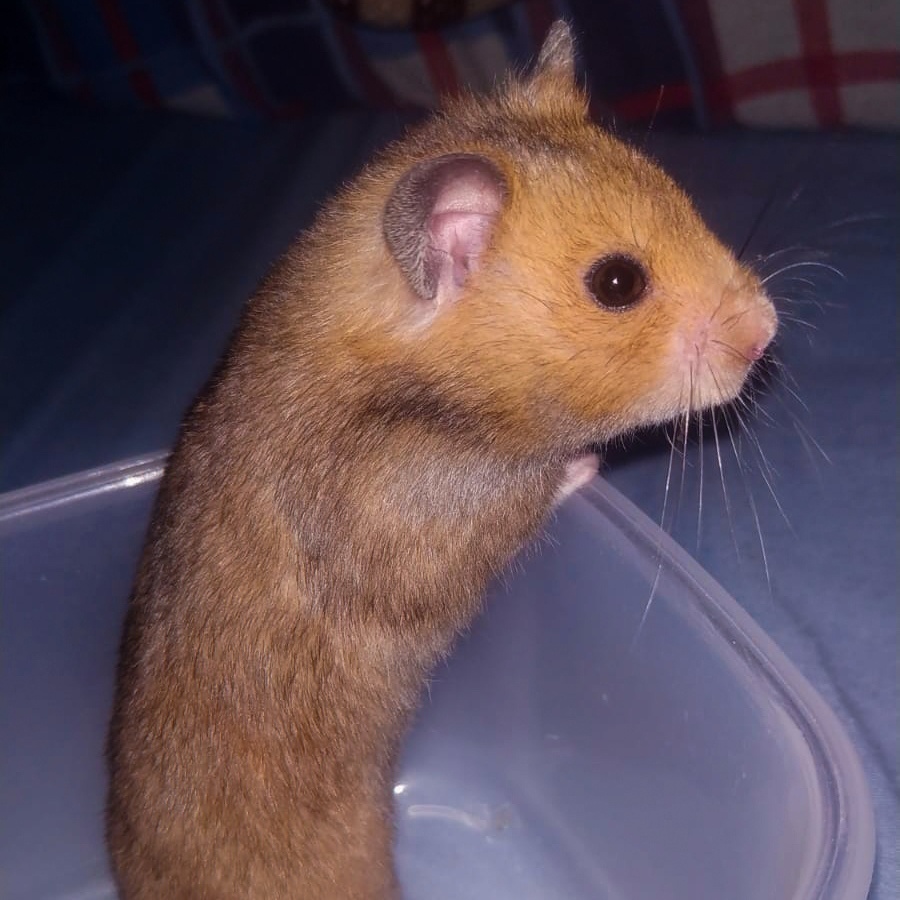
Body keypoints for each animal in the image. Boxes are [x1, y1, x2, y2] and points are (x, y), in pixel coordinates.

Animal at [106, 21, 776, 900]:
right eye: (617, 283)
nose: (769, 332)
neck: (423, 397)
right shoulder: (432, 511)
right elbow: (534, 485)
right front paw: (586, 463)